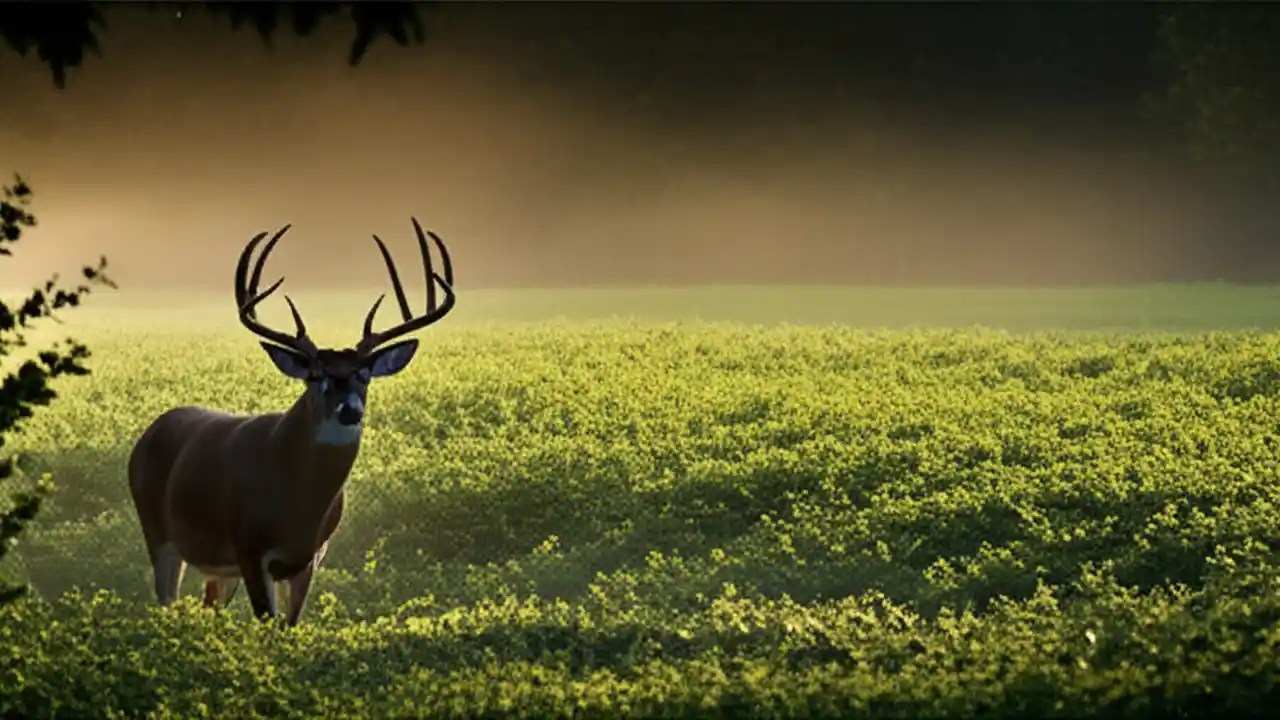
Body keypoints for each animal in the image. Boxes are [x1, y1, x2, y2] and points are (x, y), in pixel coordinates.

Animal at [127, 218, 456, 625]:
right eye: (315, 375)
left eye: (364, 375)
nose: (349, 409)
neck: (297, 506)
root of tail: (150, 432)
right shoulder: (249, 546)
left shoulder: (310, 557)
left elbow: (290, 625)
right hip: (158, 531)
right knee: (166, 599)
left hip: (218, 567)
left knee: (209, 604)